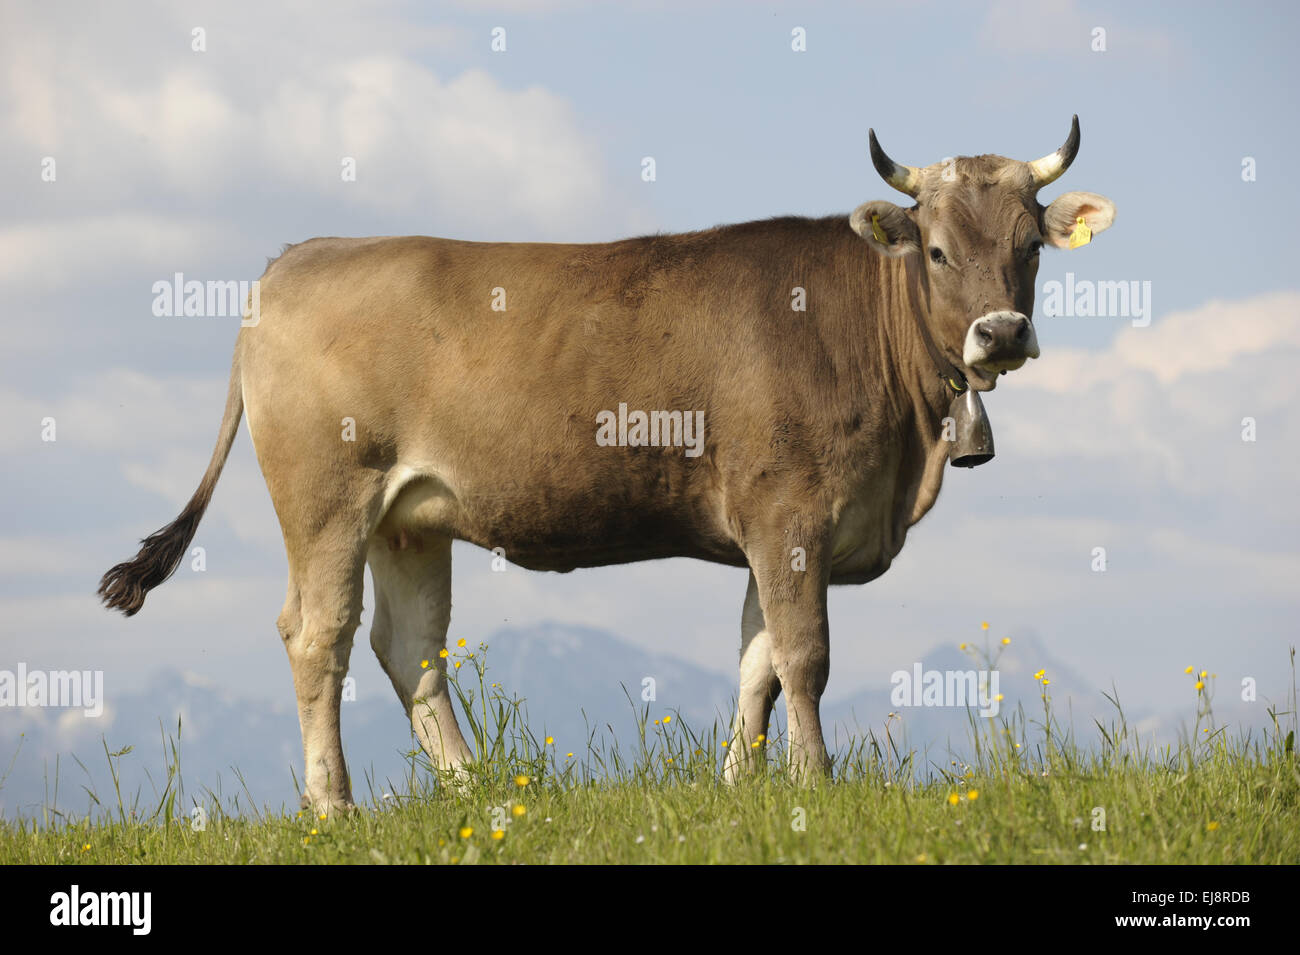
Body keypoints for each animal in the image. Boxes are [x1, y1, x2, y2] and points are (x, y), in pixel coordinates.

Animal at [99, 117, 1114, 814]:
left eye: (1029, 248)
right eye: (937, 251)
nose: (1001, 333)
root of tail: (298, 256)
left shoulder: (770, 530)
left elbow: (754, 663)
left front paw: (739, 786)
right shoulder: (790, 514)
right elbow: (803, 656)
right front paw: (813, 784)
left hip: (407, 515)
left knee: (407, 645)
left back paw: (477, 793)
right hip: (327, 498)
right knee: (319, 635)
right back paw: (335, 804)